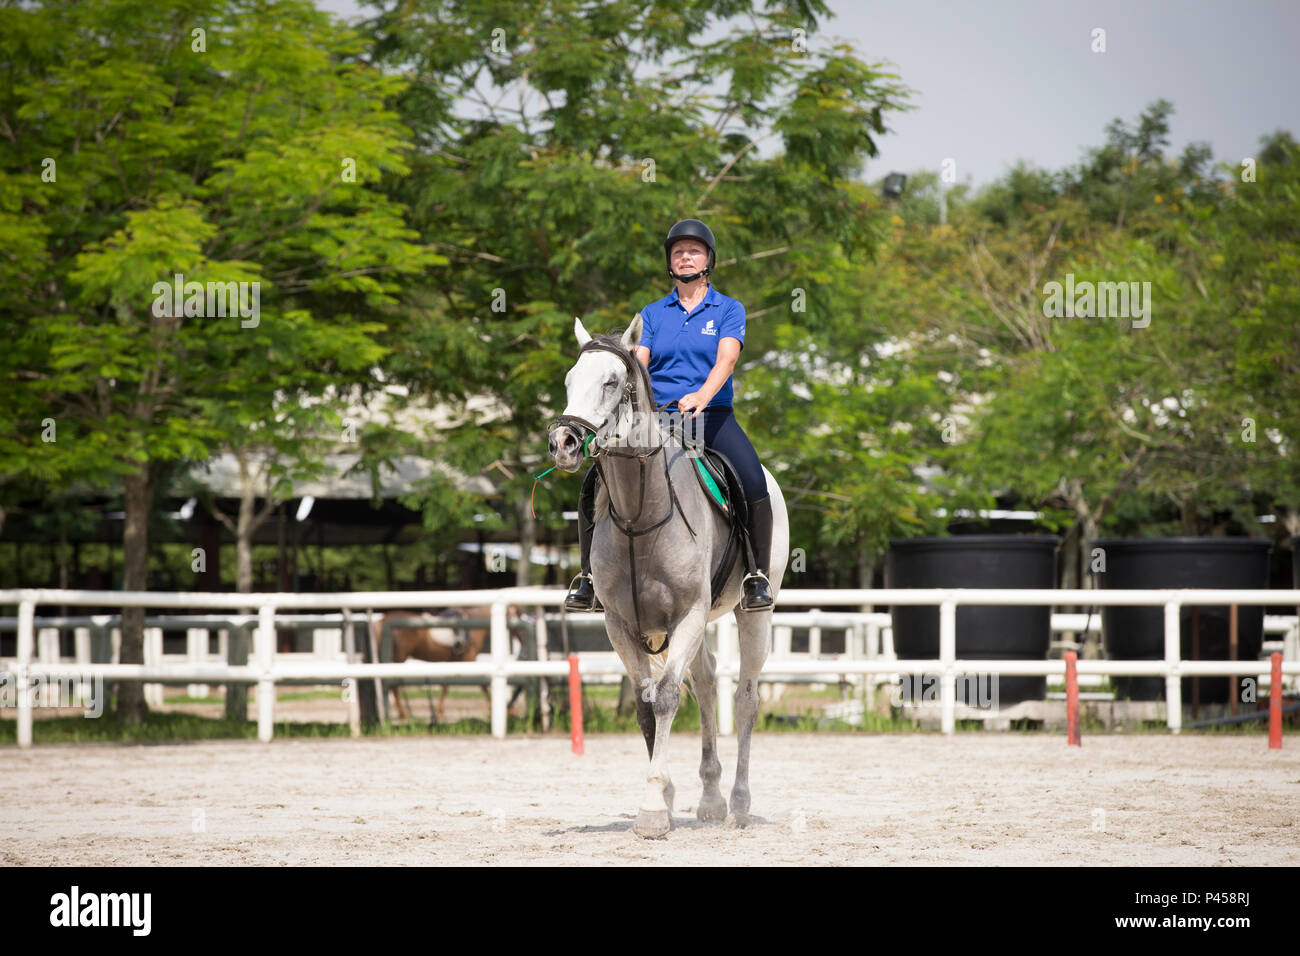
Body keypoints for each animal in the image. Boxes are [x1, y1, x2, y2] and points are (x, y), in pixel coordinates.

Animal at [547, 314, 789, 838]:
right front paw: (663, 795)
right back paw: (711, 799)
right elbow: (645, 704)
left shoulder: (688, 615)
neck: (640, 514)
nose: (564, 443)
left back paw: (738, 805)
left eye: (611, 382)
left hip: (751, 613)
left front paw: (654, 810)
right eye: (569, 380)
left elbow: (665, 700)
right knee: (707, 685)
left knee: (745, 697)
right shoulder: (621, 624)